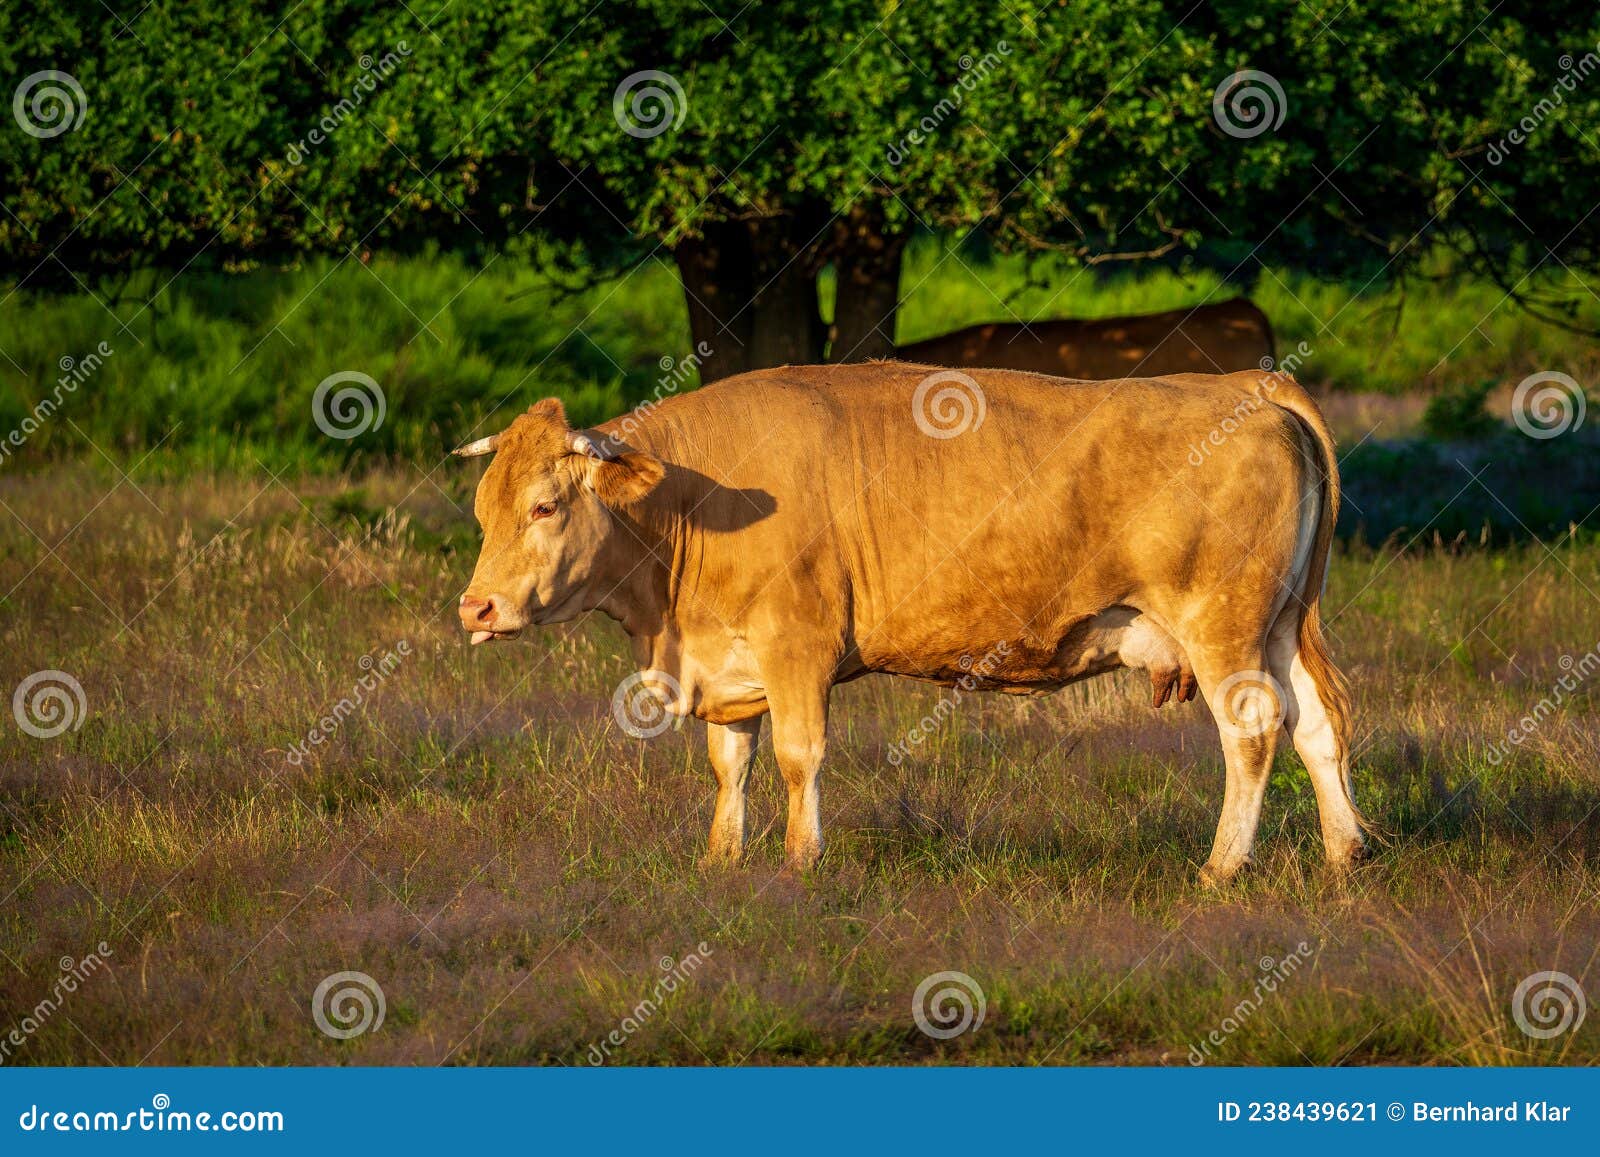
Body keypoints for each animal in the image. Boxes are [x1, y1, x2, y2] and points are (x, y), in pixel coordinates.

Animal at [453, 361, 1363, 885]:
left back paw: (1222, 867)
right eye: (482, 510)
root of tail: (1244, 385)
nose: (476, 607)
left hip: (1225, 627)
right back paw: (1345, 851)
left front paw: (801, 859)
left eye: (545, 505)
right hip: (1280, 626)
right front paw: (722, 856)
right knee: (1316, 724)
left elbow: (797, 756)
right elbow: (729, 763)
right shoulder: (728, 661)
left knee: (1252, 730)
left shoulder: (796, 644)